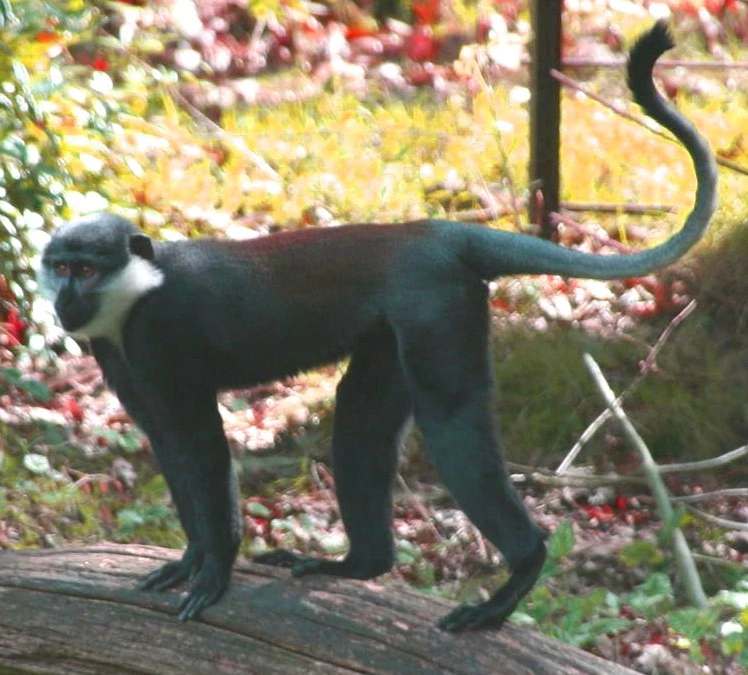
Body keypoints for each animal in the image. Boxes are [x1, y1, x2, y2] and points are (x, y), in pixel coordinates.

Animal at [38, 23, 716, 631]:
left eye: (86, 269)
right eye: (60, 267)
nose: (66, 298)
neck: (137, 289)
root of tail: (435, 235)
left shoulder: (162, 338)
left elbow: (199, 443)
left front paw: (214, 570)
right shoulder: (118, 353)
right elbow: (166, 441)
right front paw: (190, 561)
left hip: (439, 315)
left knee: (449, 419)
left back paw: (515, 574)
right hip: (397, 335)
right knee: (360, 412)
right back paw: (359, 563)